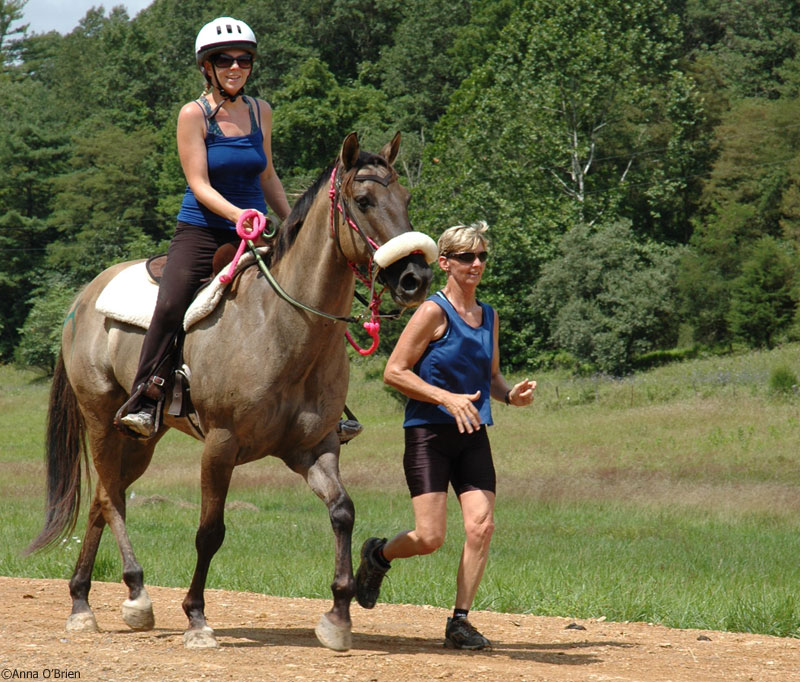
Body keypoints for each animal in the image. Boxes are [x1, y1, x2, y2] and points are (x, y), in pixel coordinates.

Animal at [26, 132, 435, 651]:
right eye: (363, 201)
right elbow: (210, 532)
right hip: (101, 418)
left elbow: (342, 511)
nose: (416, 278)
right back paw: (137, 594)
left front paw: (338, 615)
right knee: (113, 497)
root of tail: (83, 297)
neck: (284, 327)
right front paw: (197, 619)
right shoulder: (220, 446)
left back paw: (81, 602)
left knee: (103, 494)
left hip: (139, 438)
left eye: (406, 198)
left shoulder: (315, 448)